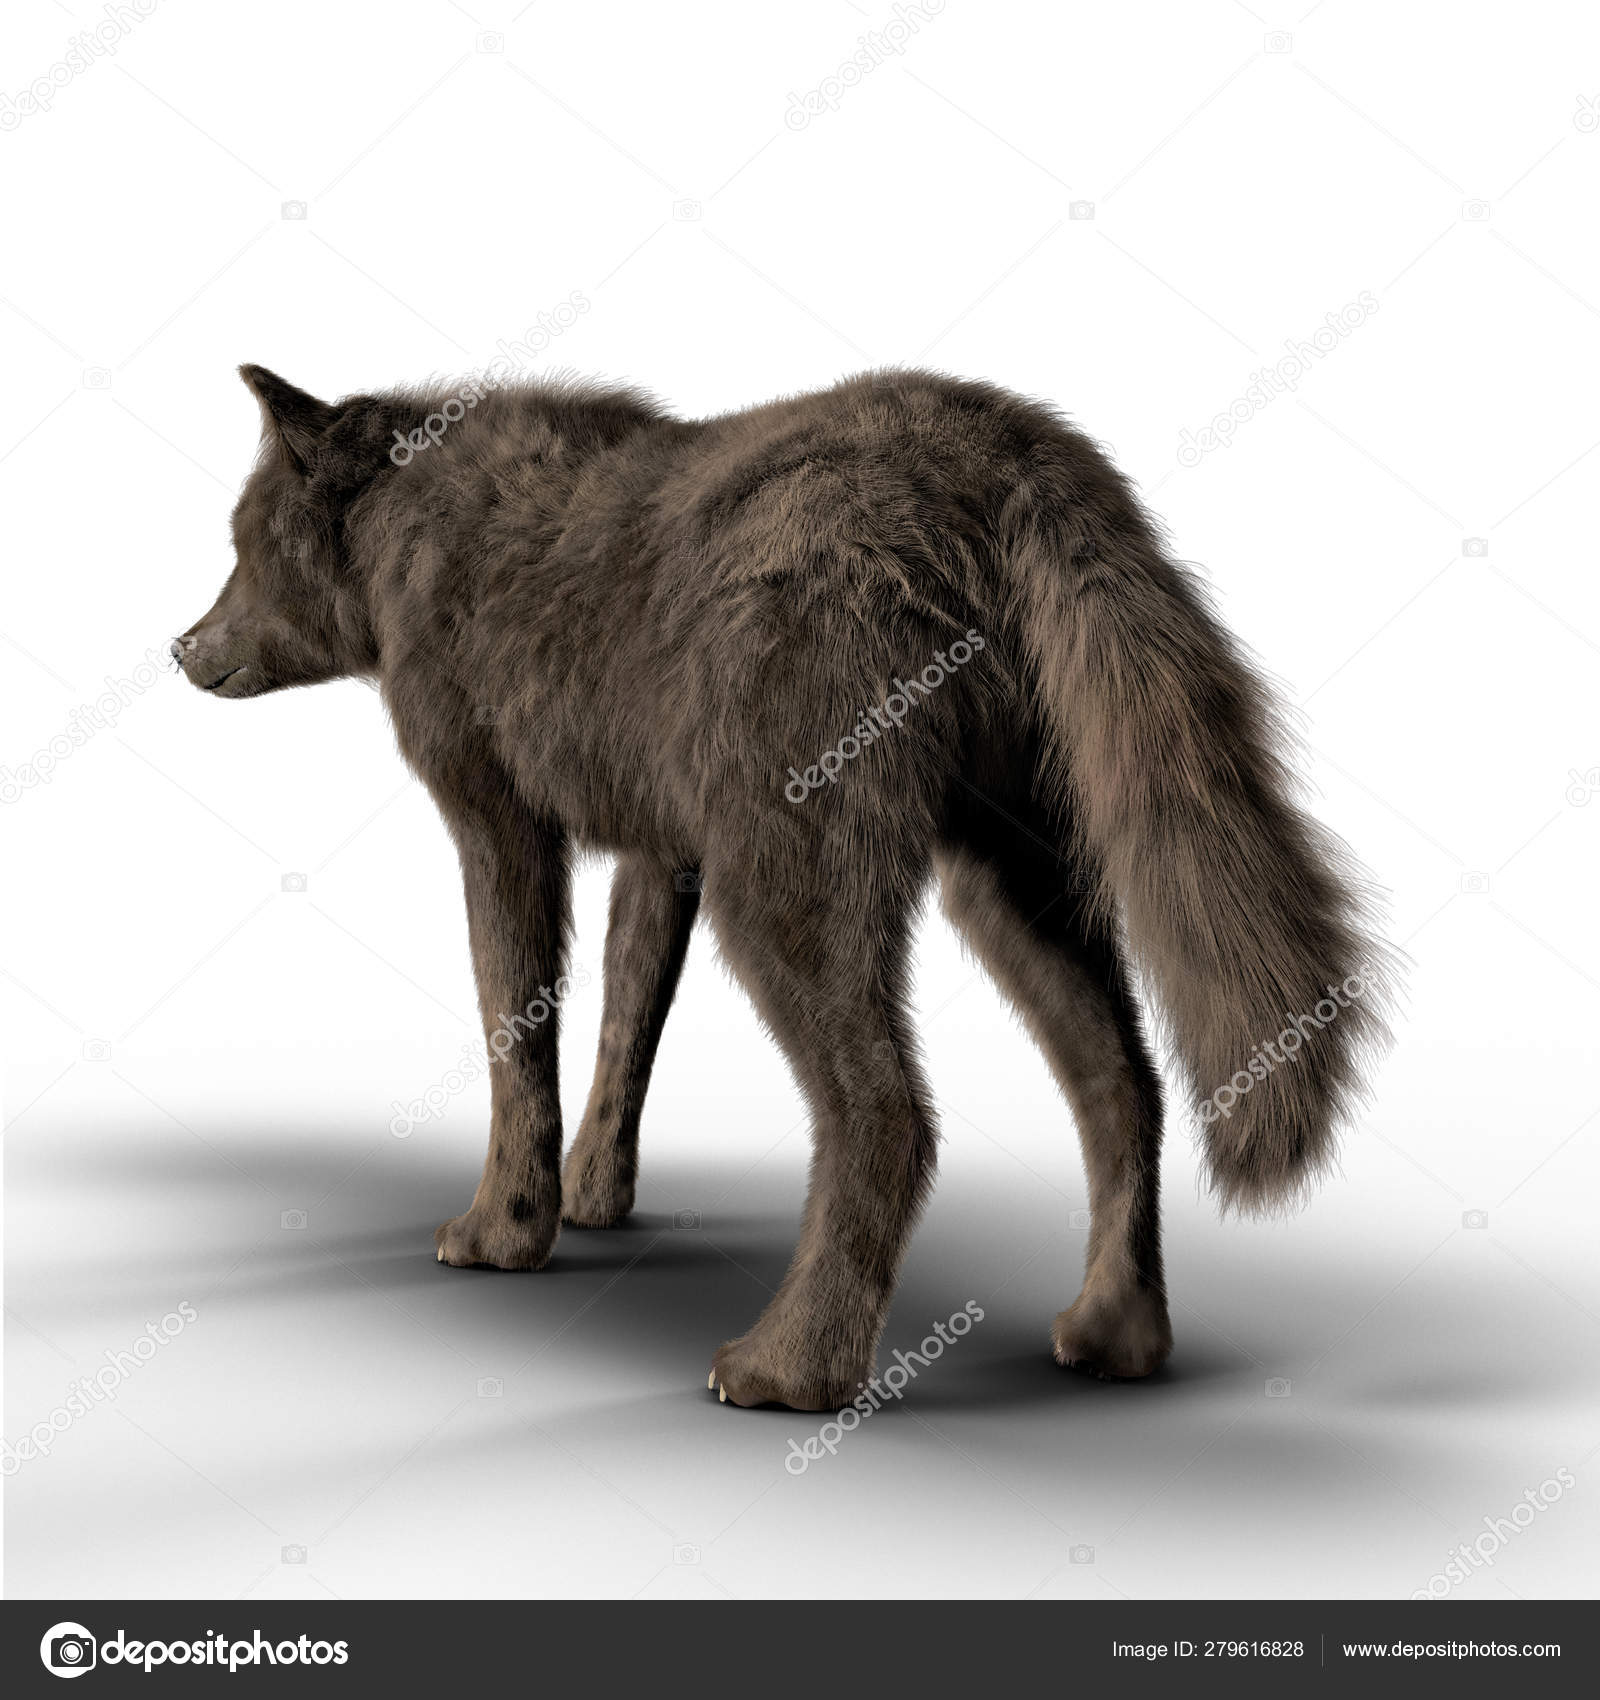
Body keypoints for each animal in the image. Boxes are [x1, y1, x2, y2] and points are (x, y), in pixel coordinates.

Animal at [173, 364, 1391, 1411]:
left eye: (239, 541)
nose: (182, 646)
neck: (407, 525)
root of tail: (999, 443)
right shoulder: (663, 849)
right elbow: (627, 1024)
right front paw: (593, 1196)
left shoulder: (500, 823)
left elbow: (517, 1034)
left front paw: (503, 1232)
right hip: (1004, 877)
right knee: (1123, 1081)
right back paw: (1113, 1332)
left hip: (788, 881)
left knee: (890, 1112)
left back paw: (788, 1369)